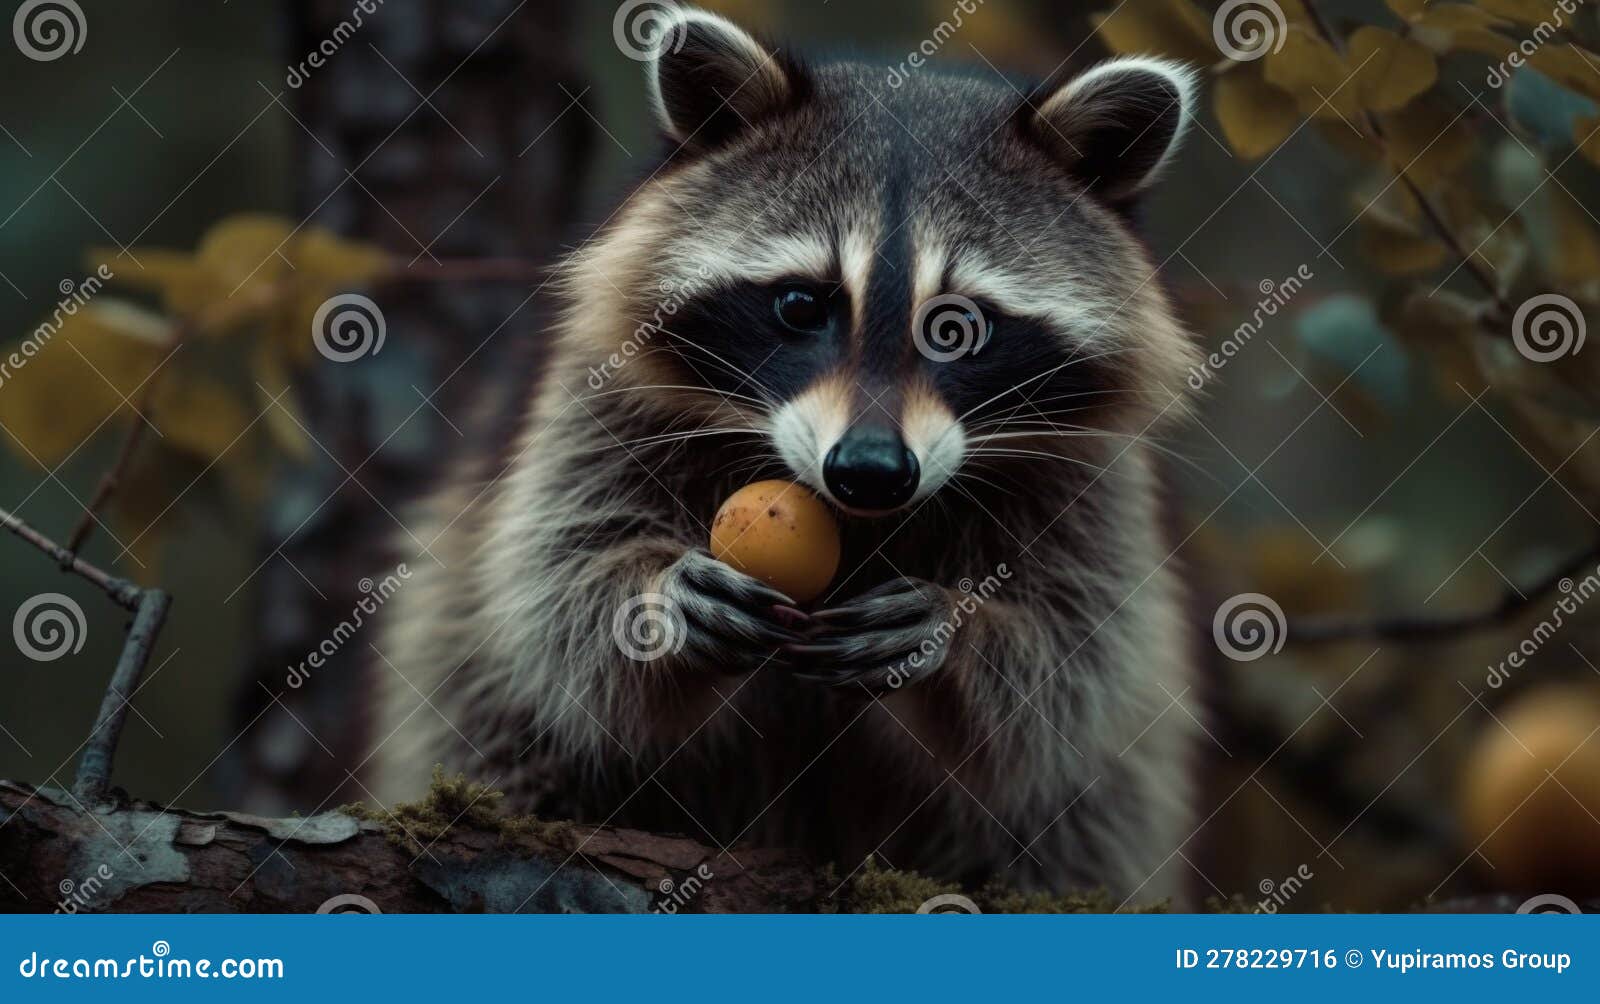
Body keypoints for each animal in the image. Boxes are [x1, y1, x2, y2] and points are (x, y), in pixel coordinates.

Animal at [372, 6, 1203, 905]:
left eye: (961, 327)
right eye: (802, 305)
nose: (869, 472)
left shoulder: (1086, 475)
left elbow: (1076, 652)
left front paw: (955, 632)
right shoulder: (601, 399)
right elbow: (557, 580)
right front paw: (659, 601)